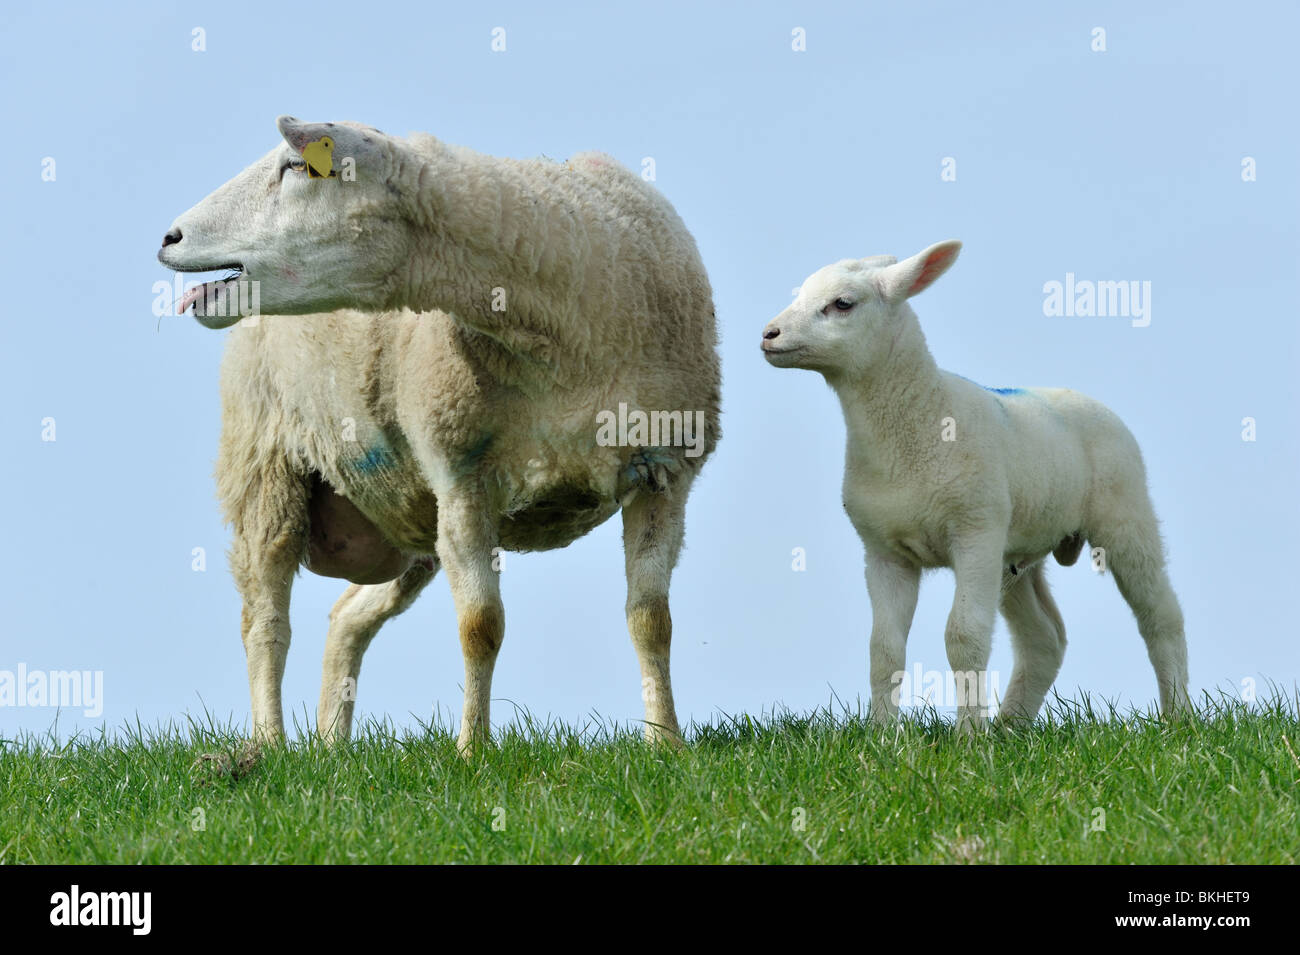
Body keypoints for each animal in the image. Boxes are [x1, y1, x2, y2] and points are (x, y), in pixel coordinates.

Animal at [157, 117, 720, 753]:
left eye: (297, 166)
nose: (169, 238)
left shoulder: (663, 472)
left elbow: (651, 619)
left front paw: (665, 743)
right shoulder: (461, 479)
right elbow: (481, 626)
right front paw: (473, 750)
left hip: (405, 517)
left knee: (347, 617)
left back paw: (331, 749)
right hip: (264, 462)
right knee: (265, 619)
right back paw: (272, 748)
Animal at [761, 240, 1189, 730]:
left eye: (843, 303)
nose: (769, 334)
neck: (919, 419)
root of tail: (1080, 396)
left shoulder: (975, 532)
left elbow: (964, 636)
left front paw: (968, 735)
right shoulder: (884, 551)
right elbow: (884, 649)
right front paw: (882, 733)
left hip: (1124, 513)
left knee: (1161, 616)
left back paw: (1179, 715)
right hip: (1016, 555)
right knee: (1044, 638)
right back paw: (1010, 726)